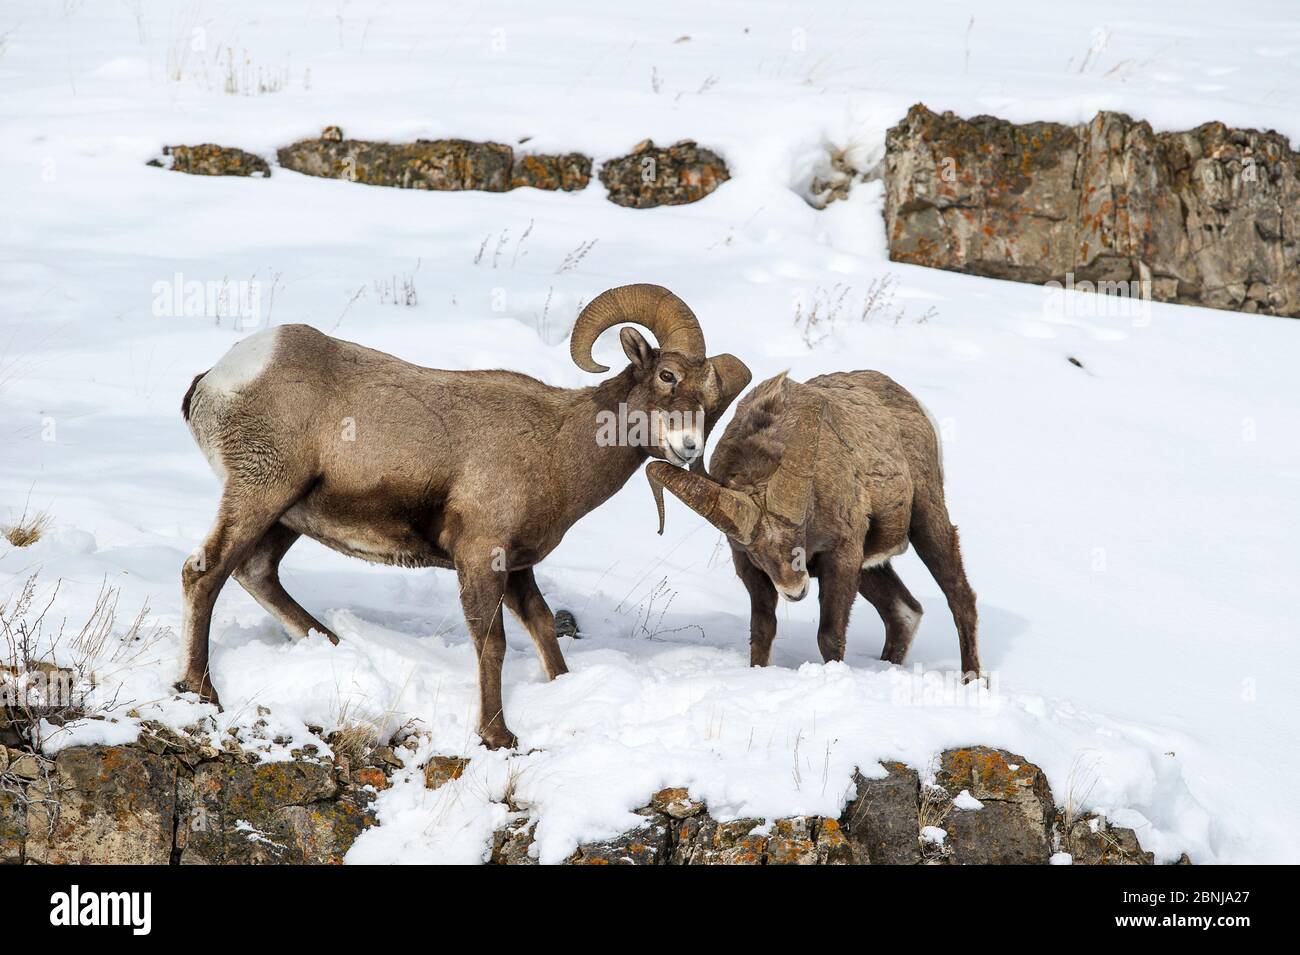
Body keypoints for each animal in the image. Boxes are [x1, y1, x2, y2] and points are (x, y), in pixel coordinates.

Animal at [179, 284, 751, 748]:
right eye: (667, 375)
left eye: (708, 395)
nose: (687, 448)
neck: (556, 447)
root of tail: (215, 380)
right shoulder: (480, 557)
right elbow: (492, 643)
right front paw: (497, 736)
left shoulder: (518, 566)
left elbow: (543, 624)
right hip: (262, 493)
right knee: (205, 573)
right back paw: (202, 691)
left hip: (285, 516)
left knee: (256, 573)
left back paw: (337, 650)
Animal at [646, 370, 981, 678]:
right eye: (756, 552)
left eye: (799, 532)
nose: (795, 591)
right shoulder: (753, 572)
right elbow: (762, 631)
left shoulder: (841, 559)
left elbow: (830, 637)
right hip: (870, 569)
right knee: (904, 612)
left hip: (927, 524)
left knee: (960, 599)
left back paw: (972, 679)